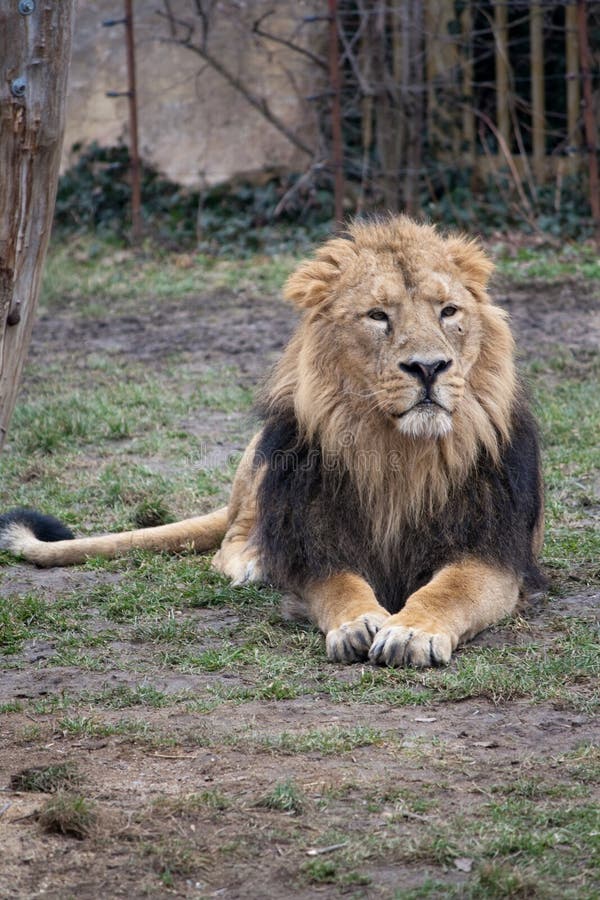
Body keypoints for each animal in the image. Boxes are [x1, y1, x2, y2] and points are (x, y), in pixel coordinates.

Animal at [0, 217, 545, 668]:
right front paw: (356, 623)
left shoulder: (494, 553)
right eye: (377, 316)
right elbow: (339, 587)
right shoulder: (313, 543)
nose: (429, 367)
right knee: (232, 536)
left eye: (449, 311)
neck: (398, 452)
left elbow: (451, 590)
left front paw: (411, 631)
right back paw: (254, 562)